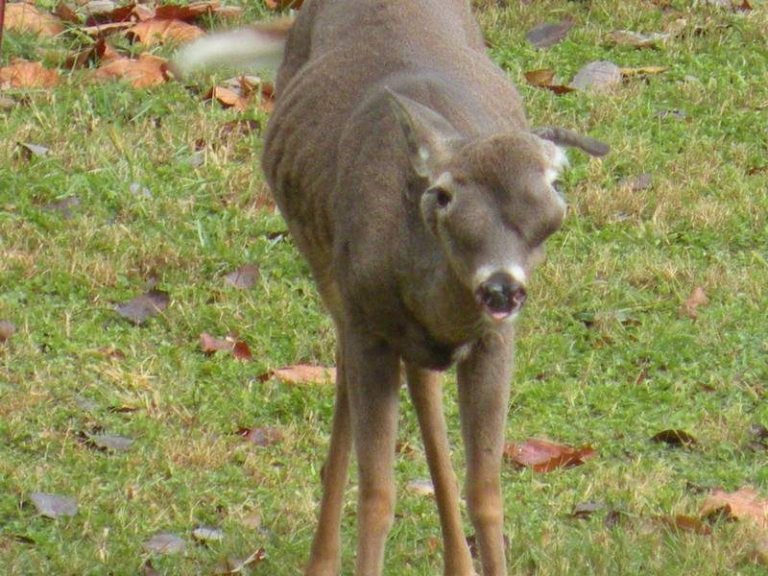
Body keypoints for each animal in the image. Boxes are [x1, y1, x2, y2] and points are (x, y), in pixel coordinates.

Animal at [174, 1, 608, 574]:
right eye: (443, 195)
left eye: (554, 188)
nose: (501, 289)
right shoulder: (367, 324)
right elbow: (377, 494)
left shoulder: (495, 340)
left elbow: (487, 492)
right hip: (328, 270)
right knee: (347, 379)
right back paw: (322, 561)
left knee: (421, 385)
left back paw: (456, 562)